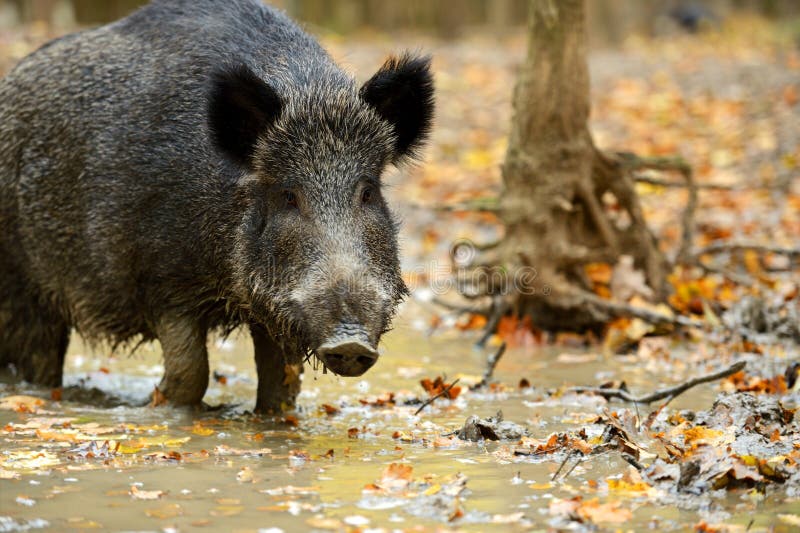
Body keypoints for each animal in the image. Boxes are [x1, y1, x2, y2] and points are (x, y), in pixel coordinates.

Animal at [0, 0, 434, 412]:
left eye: (368, 192)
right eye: (288, 195)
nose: (351, 343)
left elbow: (281, 389)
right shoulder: (162, 281)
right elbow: (191, 374)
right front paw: (157, 407)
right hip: (22, 289)